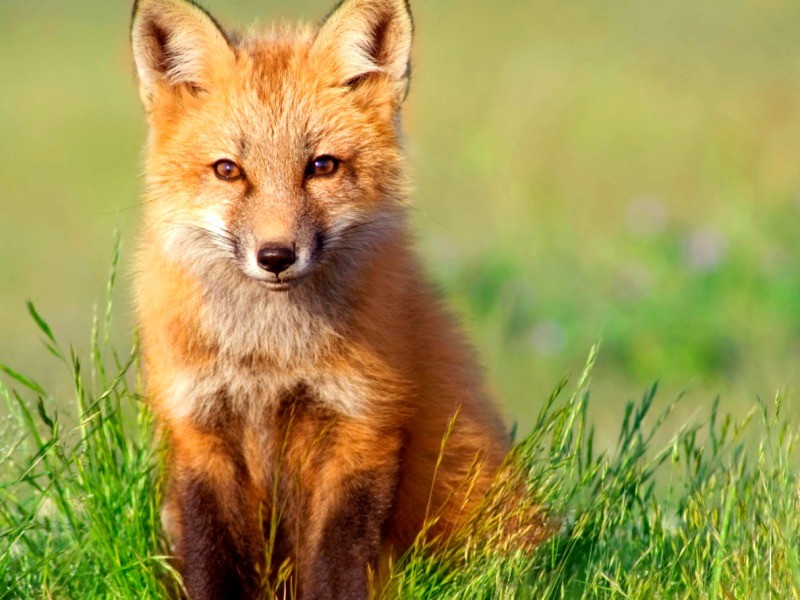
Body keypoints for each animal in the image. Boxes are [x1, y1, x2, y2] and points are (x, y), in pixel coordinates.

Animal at [130, 0, 547, 598]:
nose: (276, 256)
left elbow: (337, 560)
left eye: (321, 166)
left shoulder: (362, 423)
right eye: (228, 170)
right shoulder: (198, 428)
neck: (270, 358)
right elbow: (212, 558)